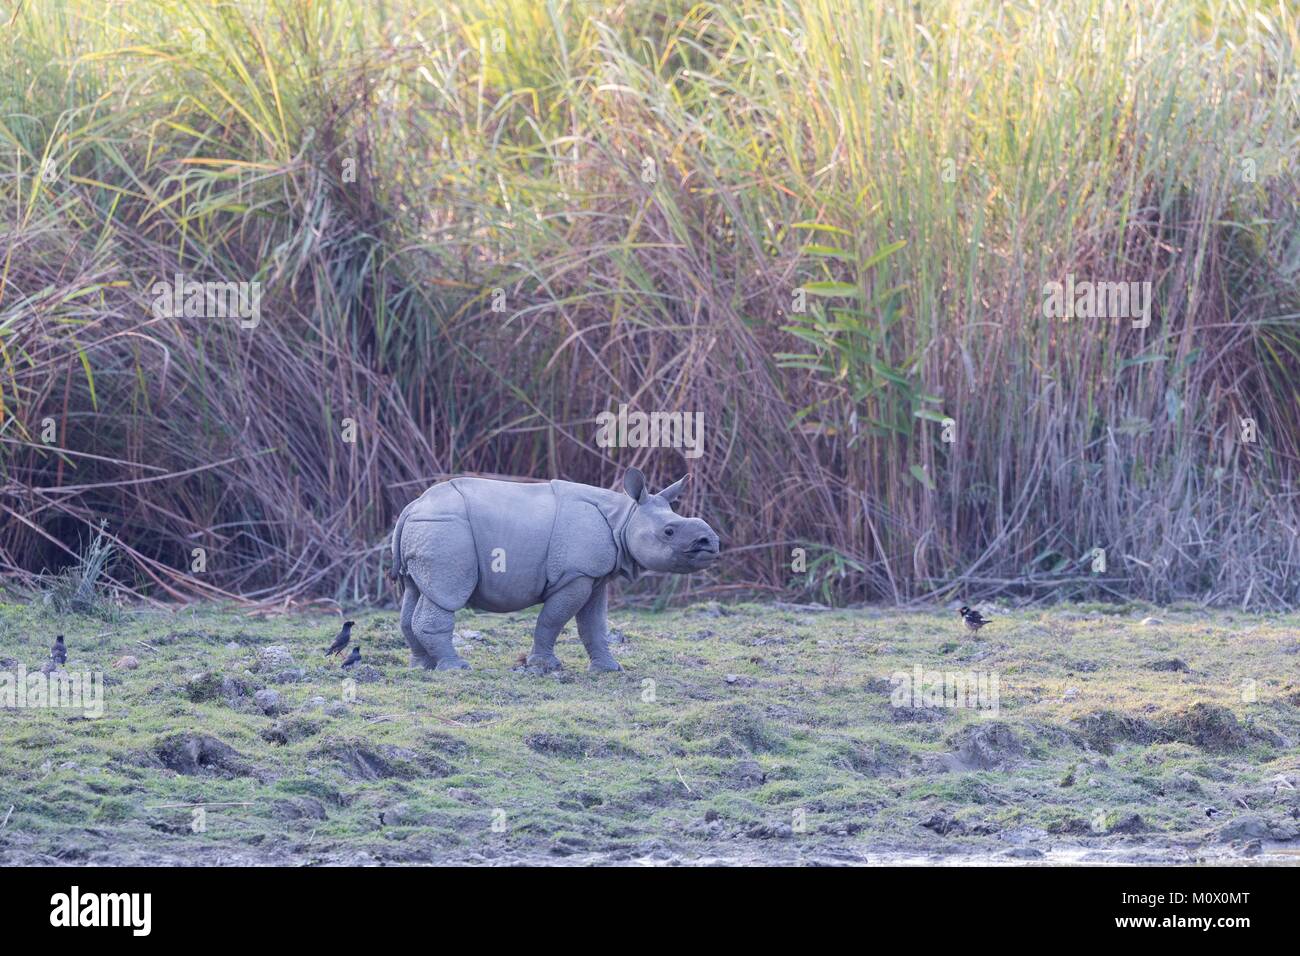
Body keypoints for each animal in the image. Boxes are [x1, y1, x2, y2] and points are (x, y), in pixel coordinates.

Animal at [390, 468, 720, 672]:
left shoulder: (595, 577)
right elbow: (553, 619)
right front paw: (544, 666)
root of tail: (412, 507)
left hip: (428, 528)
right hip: (445, 529)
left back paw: (422, 666)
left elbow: (594, 625)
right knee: (445, 595)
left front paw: (609, 669)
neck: (623, 519)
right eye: (669, 531)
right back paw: (456, 668)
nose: (712, 543)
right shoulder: (575, 575)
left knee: (415, 591)